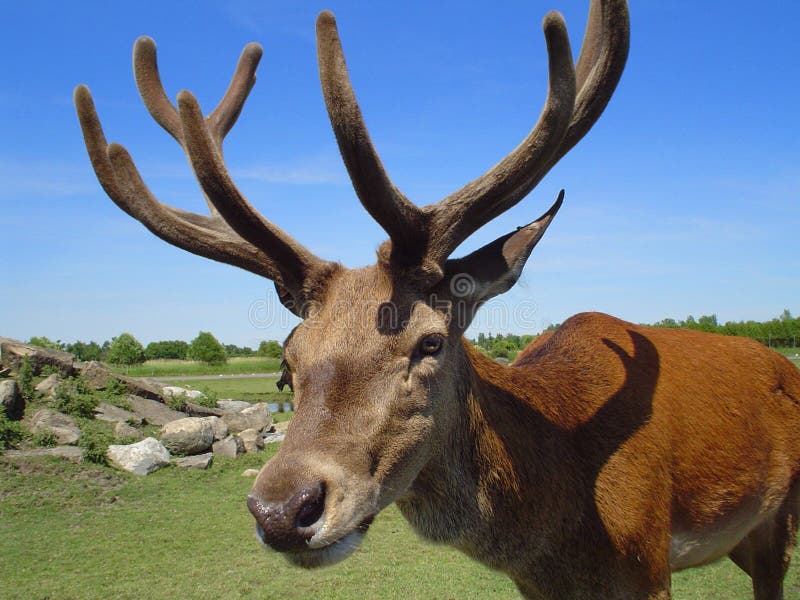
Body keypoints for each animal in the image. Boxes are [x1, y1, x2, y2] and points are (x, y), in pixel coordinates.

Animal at [74, 1, 800, 598]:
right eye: (286, 362)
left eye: (429, 341)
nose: (281, 509)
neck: (565, 528)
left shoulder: (648, 569)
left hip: (780, 519)